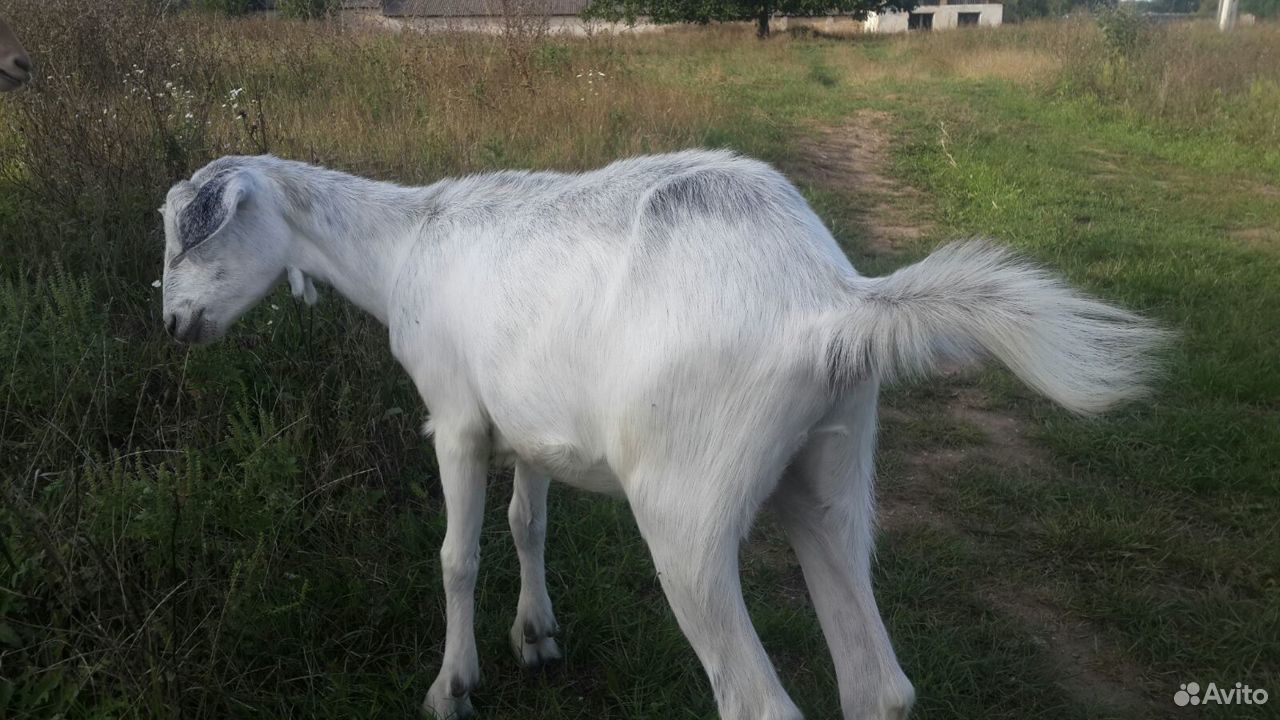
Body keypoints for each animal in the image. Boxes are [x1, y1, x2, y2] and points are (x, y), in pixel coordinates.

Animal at [159, 151, 1166, 720]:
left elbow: (456, 555)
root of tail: (833, 302)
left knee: (756, 702)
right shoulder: (531, 427)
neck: (405, 246)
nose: (173, 325)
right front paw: (536, 637)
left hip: (687, 509)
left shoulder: (456, 416)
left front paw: (453, 687)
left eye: (193, 234)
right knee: (878, 687)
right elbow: (529, 525)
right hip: (832, 475)